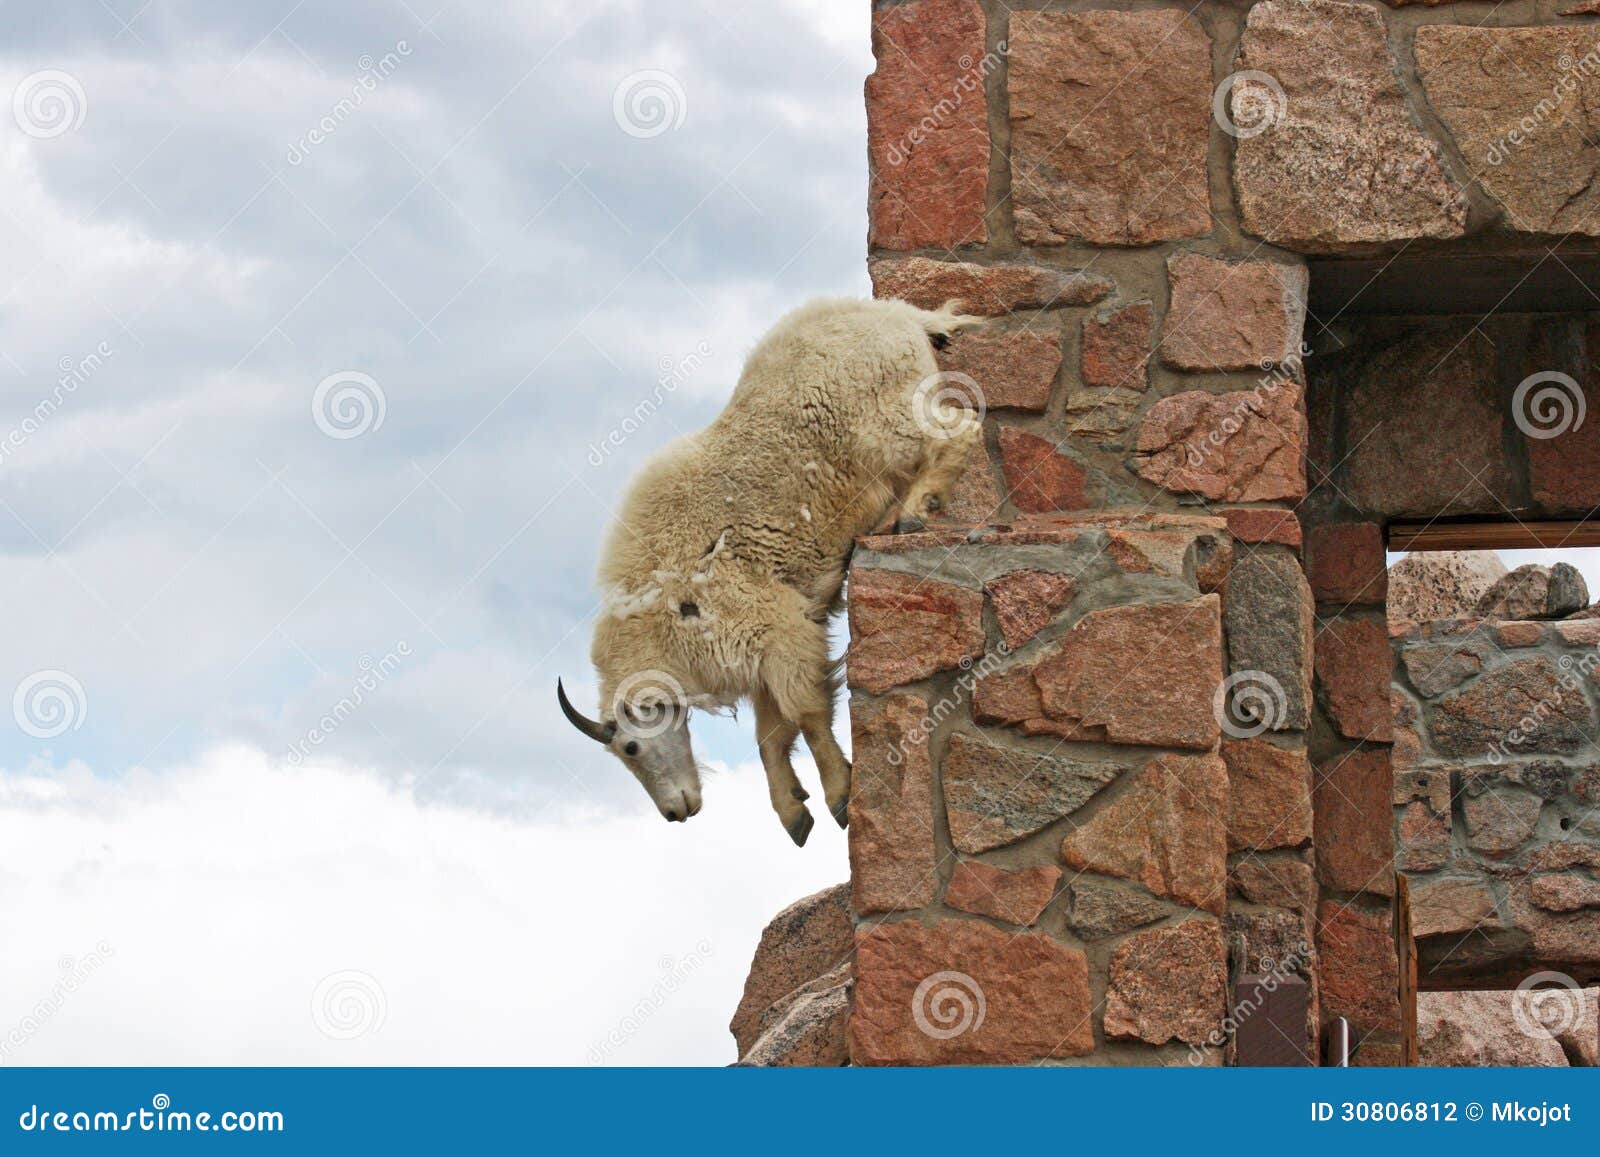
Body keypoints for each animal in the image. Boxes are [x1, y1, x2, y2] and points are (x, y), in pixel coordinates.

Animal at [558, 297, 982, 845]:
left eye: (631, 746)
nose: (676, 811)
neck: (662, 618)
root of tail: (904, 317)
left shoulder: (775, 625)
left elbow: (806, 712)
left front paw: (841, 795)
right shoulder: (758, 658)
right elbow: (770, 737)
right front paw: (794, 813)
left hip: (891, 421)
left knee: (960, 427)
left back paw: (915, 509)